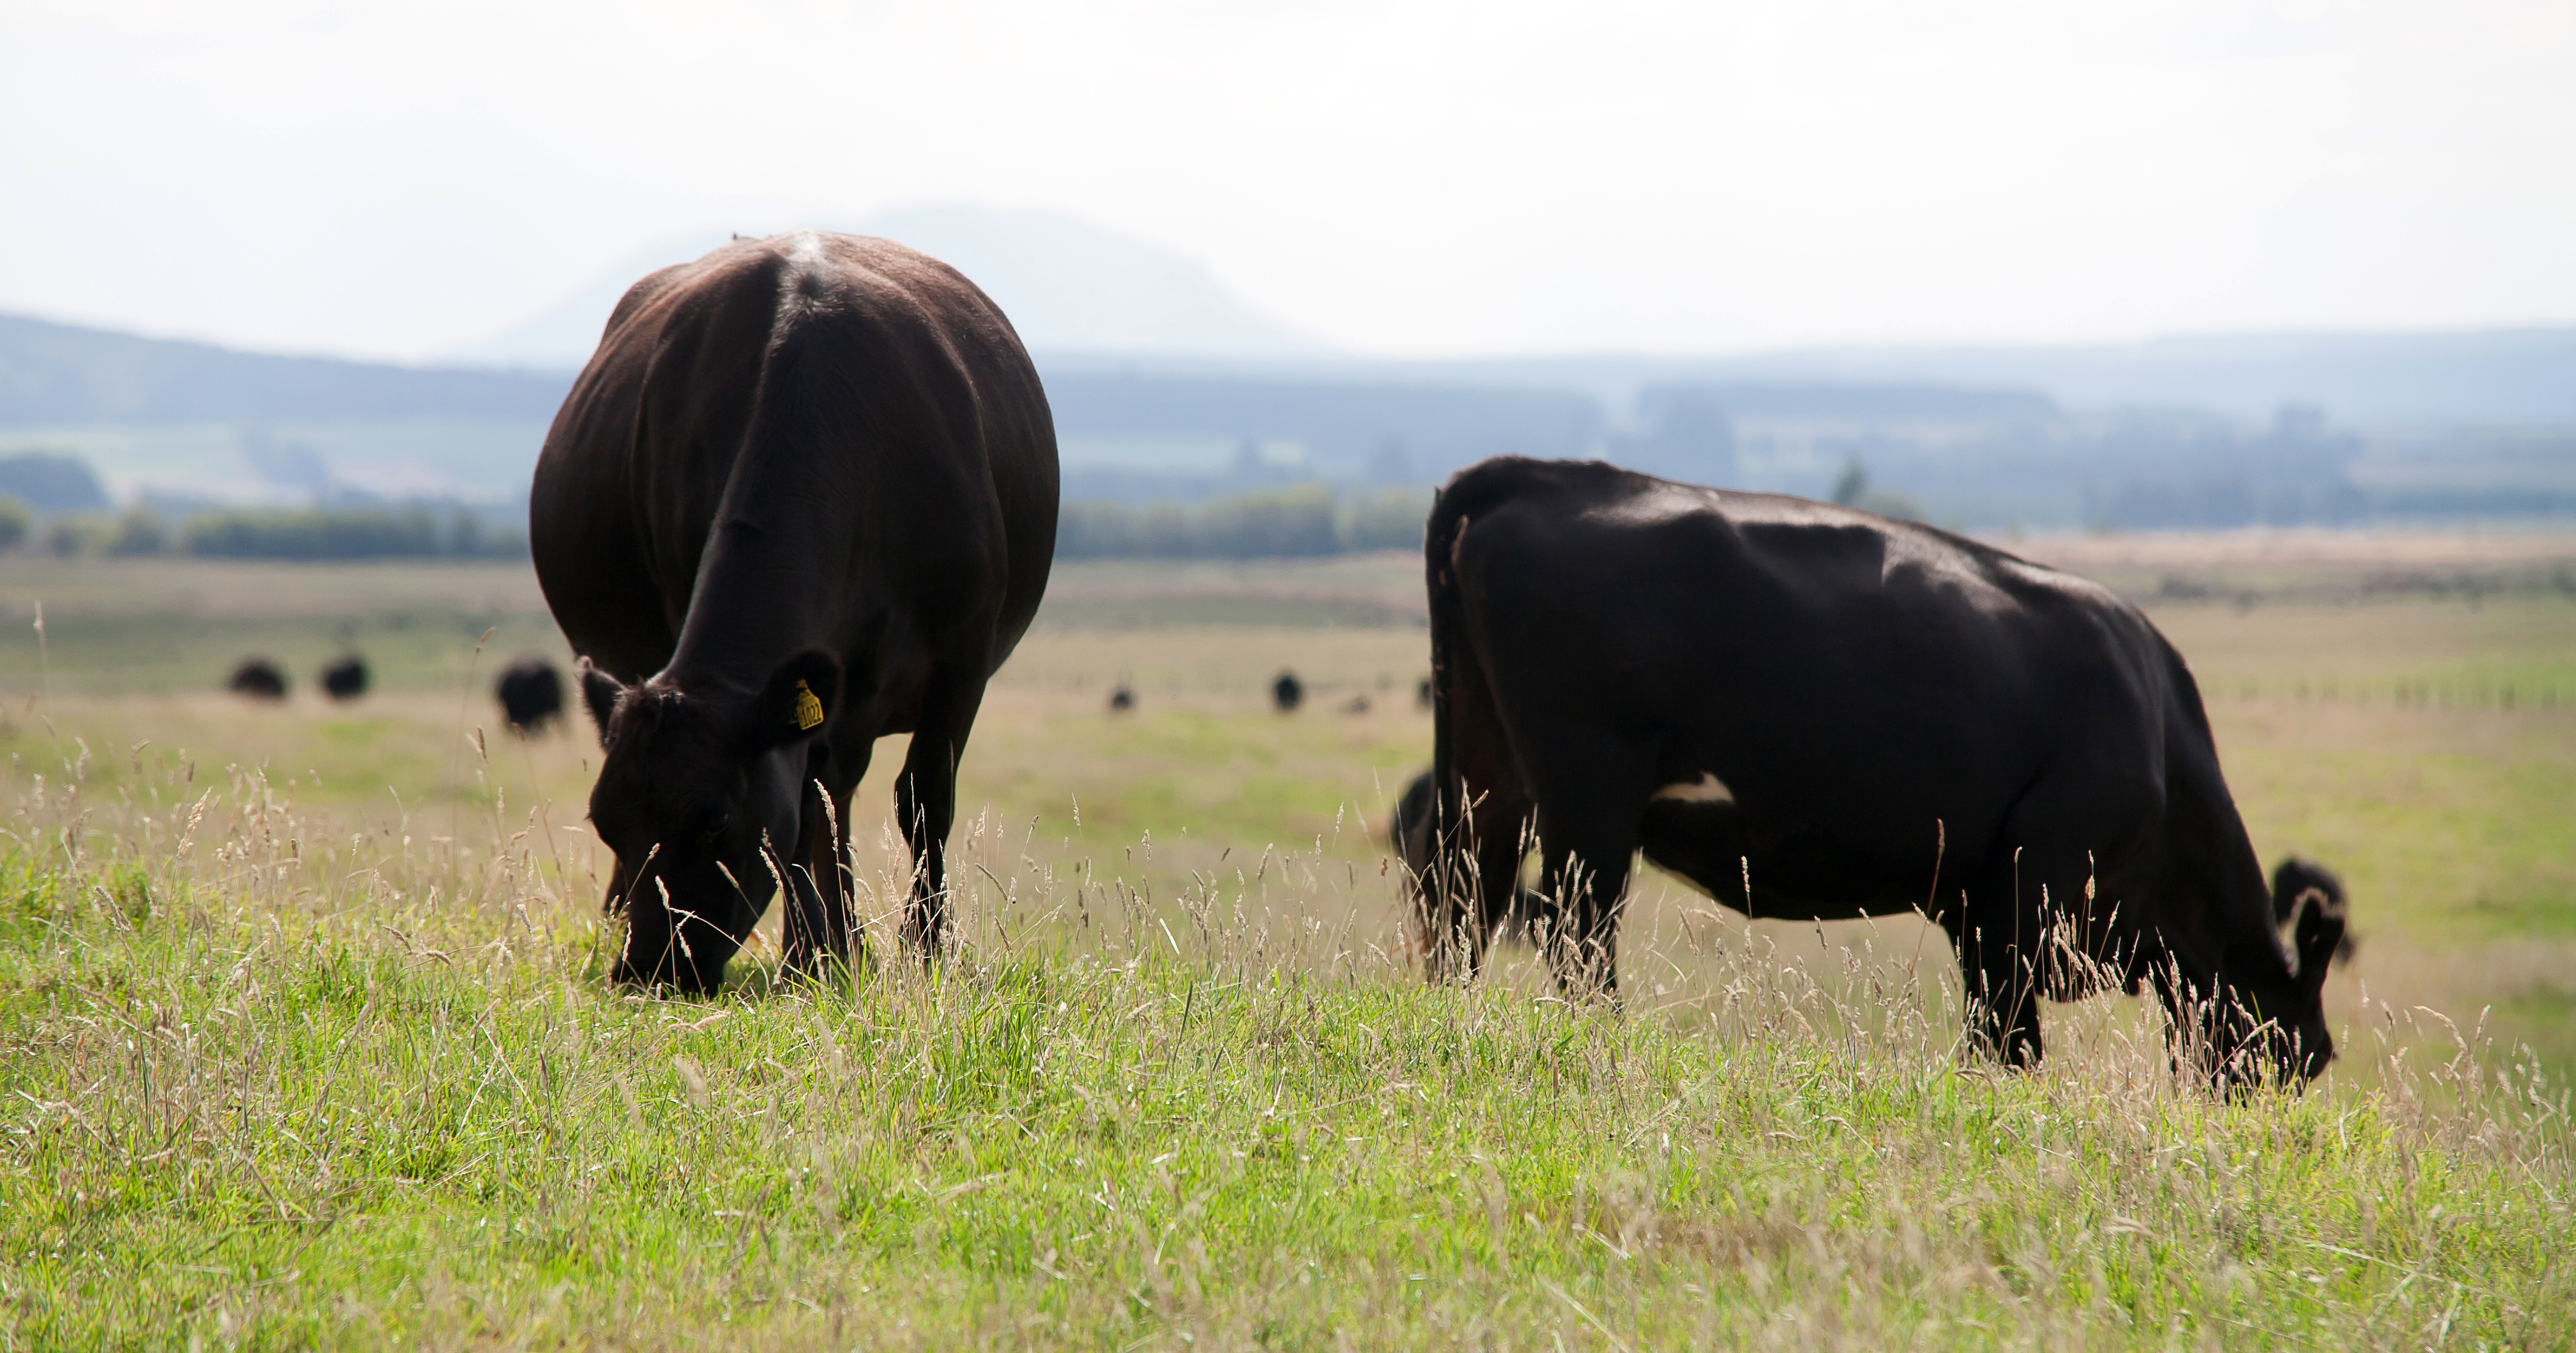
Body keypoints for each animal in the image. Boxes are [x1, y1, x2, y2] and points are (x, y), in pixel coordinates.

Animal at [532, 230, 1058, 994]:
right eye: (605, 822)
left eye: (716, 821)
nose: (646, 971)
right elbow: (814, 809)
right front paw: (819, 955)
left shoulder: (962, 660)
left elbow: (921, 797)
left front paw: (923, 951)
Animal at [1415, 457, 2348, 1088]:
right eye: (2292, 1054)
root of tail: (1534, 477)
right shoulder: (2031, 887)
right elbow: (2011, 1037)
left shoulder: (1975, 904)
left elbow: (1994, 1033)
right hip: (1589, 799)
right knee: (1574, 935)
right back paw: (1599, 1045)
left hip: (1489, 779)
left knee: (1460, 898)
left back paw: (1452, 1023)